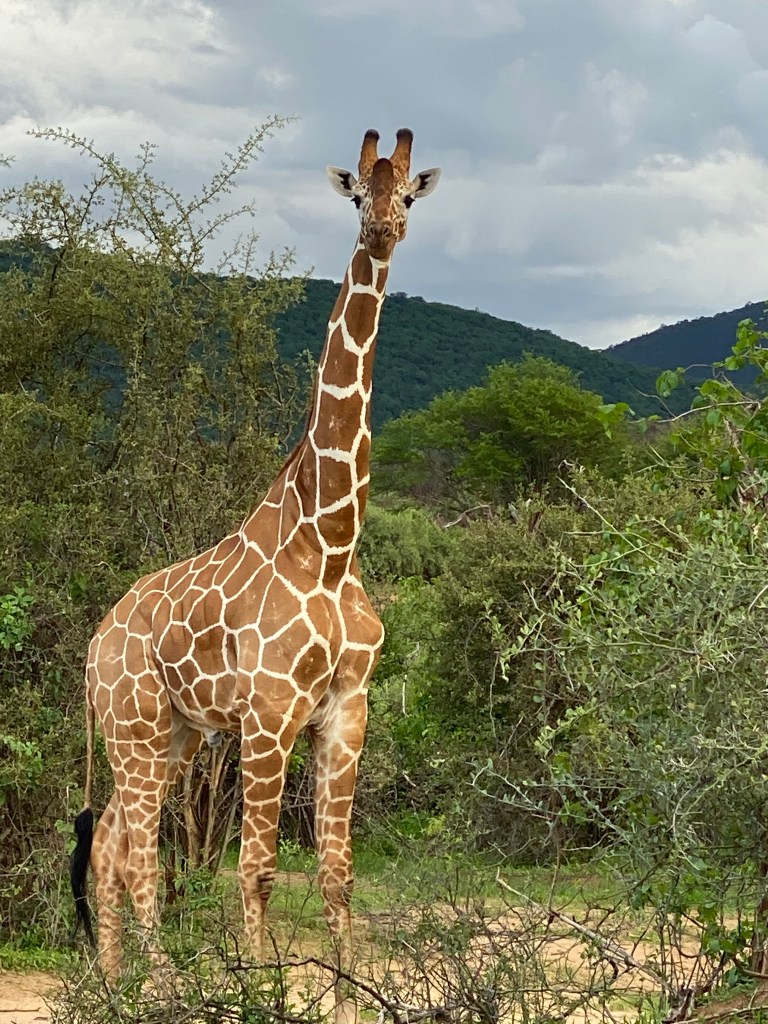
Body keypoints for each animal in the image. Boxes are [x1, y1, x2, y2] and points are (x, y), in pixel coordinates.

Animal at [70, 128, 440, 1020]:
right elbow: (259, 868)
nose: (383, 229)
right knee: (138, 852)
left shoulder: (346, 708)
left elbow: (338, 873)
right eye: (356, 194)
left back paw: (114, 987)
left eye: (409, 191)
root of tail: (91, 648)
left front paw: (346, 1001)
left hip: (173, 733)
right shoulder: (270, 713)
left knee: (110, 842)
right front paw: (259, 991)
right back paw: (163, 987)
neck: (331, 542)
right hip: (134, 726)